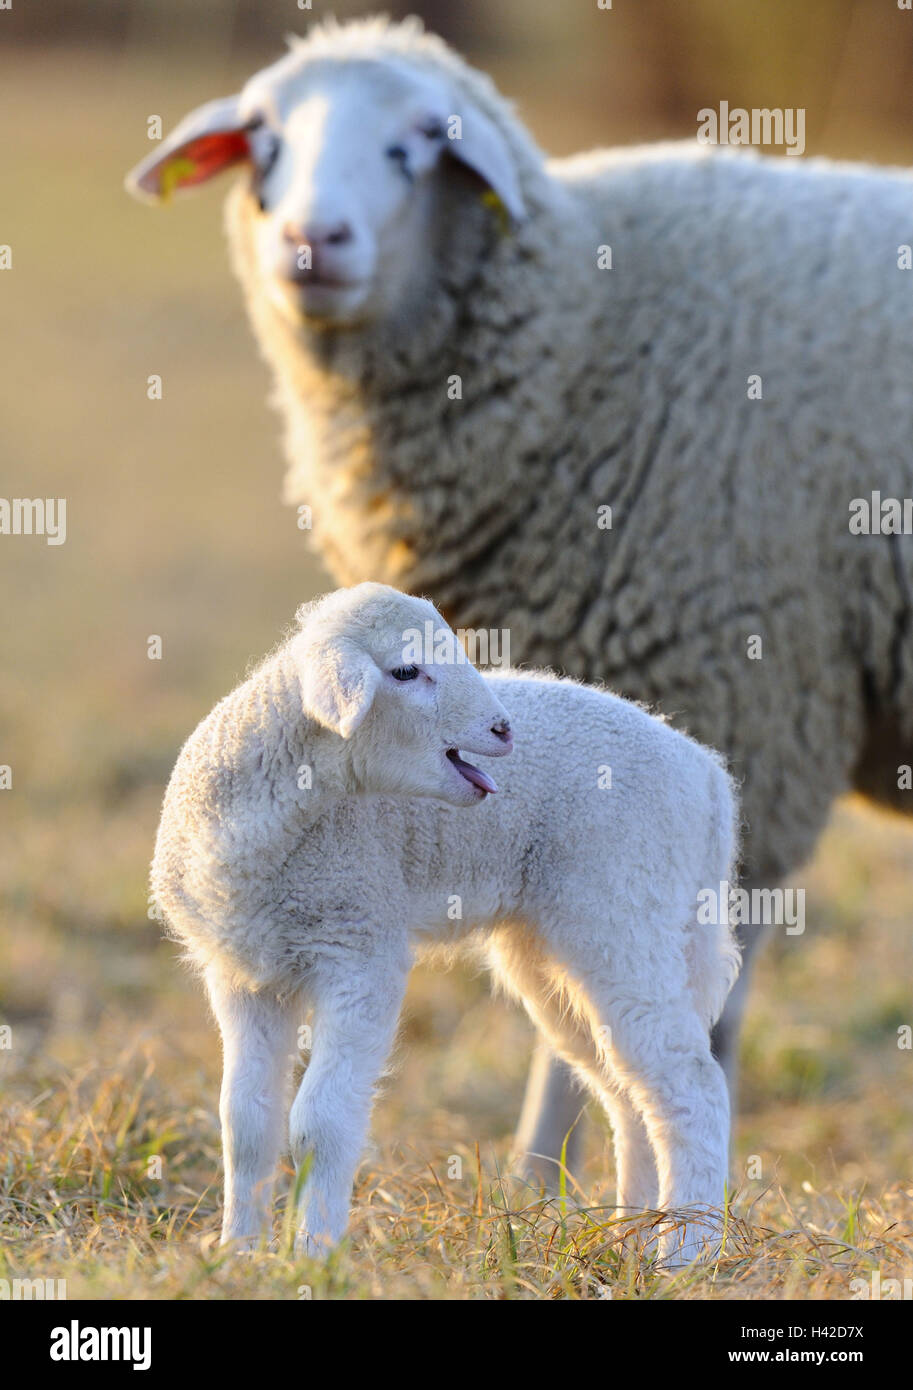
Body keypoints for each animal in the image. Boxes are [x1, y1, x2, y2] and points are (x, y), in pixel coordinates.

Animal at [126, 15, 913, 1185]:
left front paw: (536, 1185)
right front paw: (550, 1191)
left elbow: (690, 1032)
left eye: (417, 142)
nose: (312, 242)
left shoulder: (742, 705)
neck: (585, 326)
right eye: (262, 139)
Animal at [150, 582, 740, 1263]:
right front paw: (239, 1255)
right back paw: (633, 1235)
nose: (503, 729)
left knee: (691, 1083)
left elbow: (320, 1123)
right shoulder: (244, 971)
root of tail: (707, 774)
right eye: (406, 671)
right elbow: (245, 1124)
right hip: (562, 946)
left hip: (626, 909)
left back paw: (688, 1251)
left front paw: (314, 1256)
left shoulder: (360, 948)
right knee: (629, 1094)